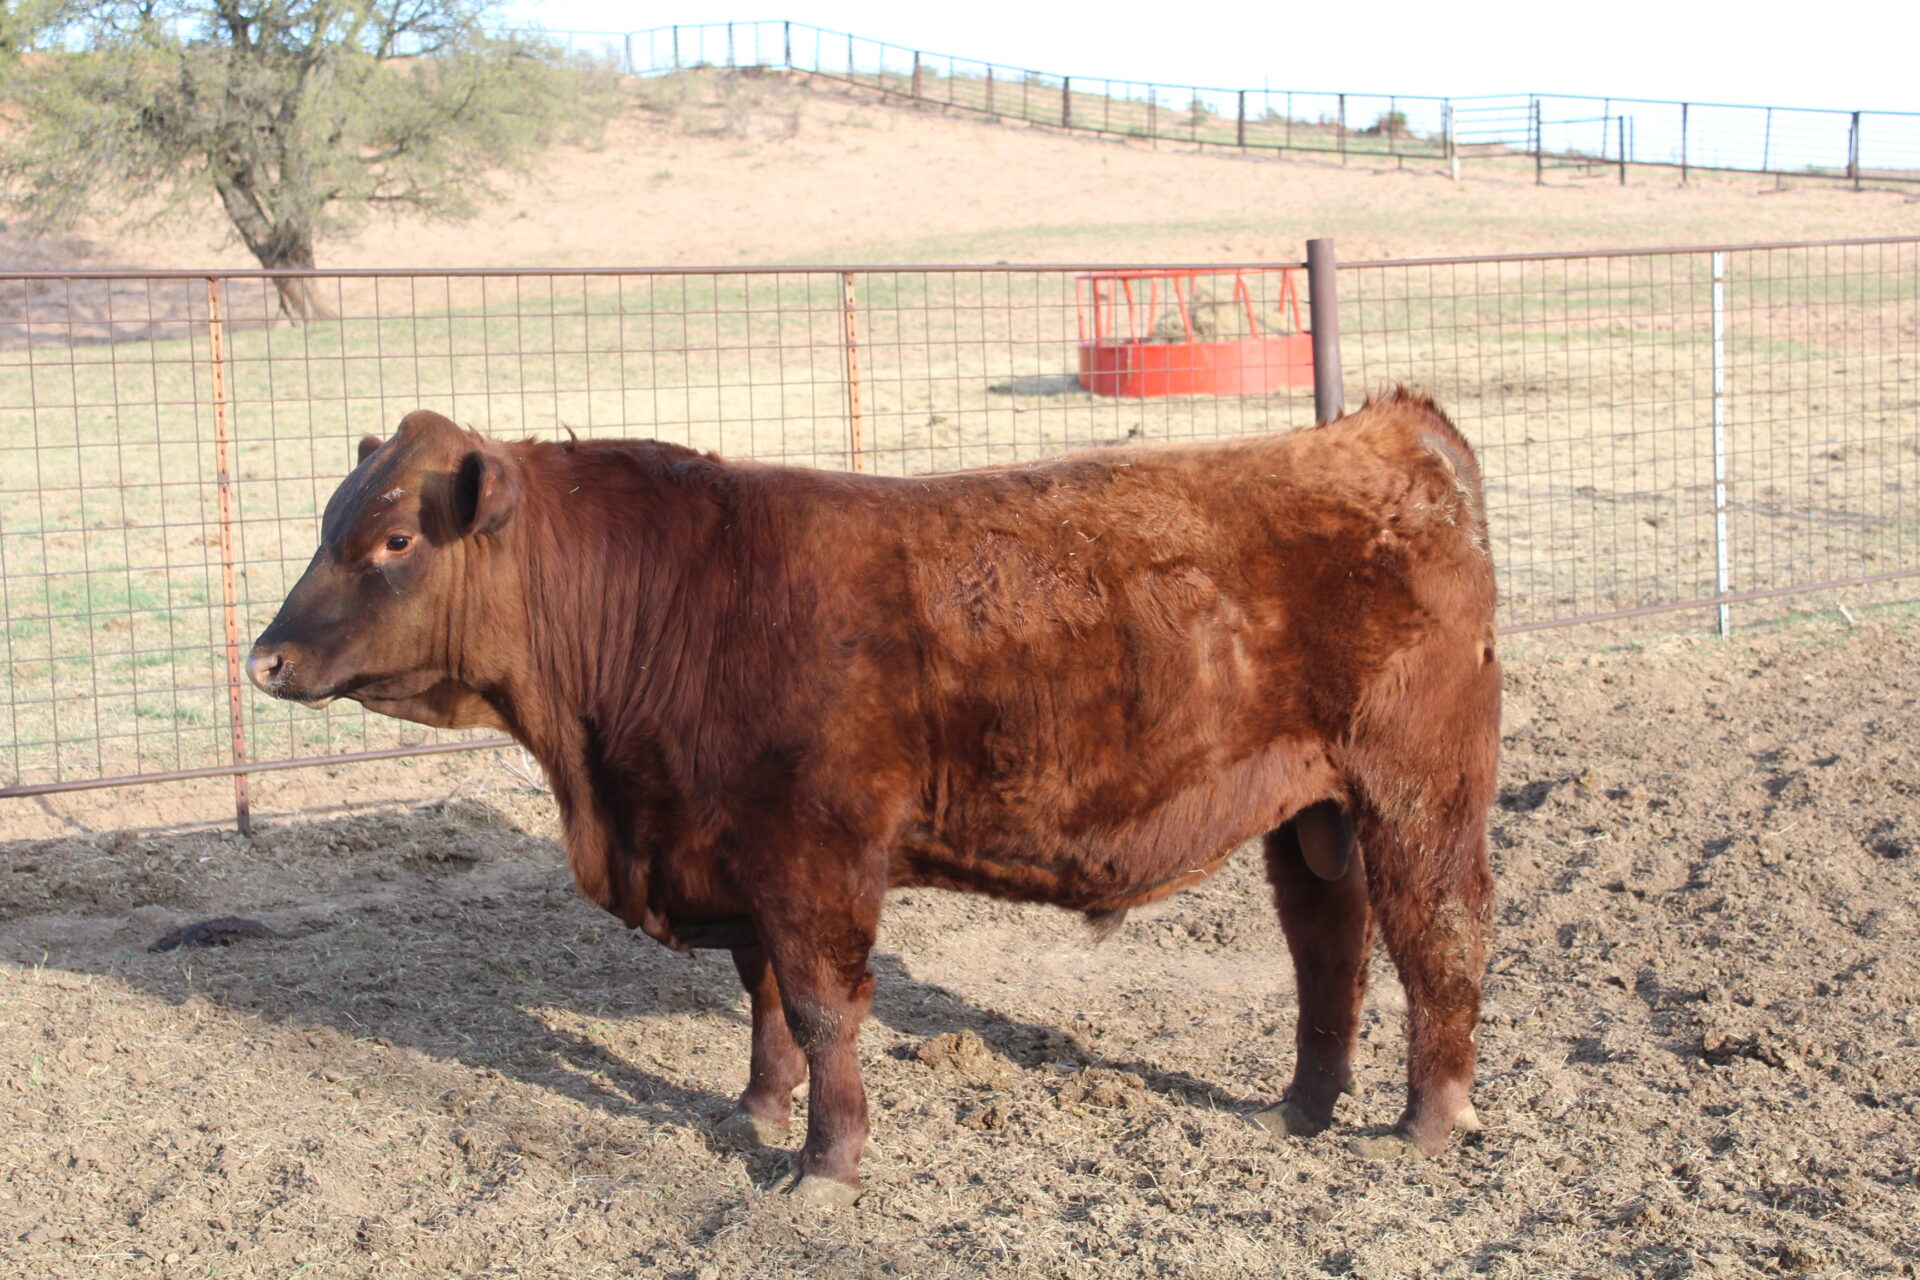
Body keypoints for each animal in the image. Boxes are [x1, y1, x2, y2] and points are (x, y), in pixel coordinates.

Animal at [247, 391, 1500, 1207]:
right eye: (329, 523)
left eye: (394, 537)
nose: (262, 658)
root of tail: (1390, 428)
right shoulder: (737, 857)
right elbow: (761, 999)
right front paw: (756, 1111)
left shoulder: (817, 857)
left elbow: (821, 1006)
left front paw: (826, 1163)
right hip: (1311, 811)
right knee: (1329, 945)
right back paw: (1304, 1105)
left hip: (1418, 791)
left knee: (1440, 937)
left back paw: (1428, 1123)